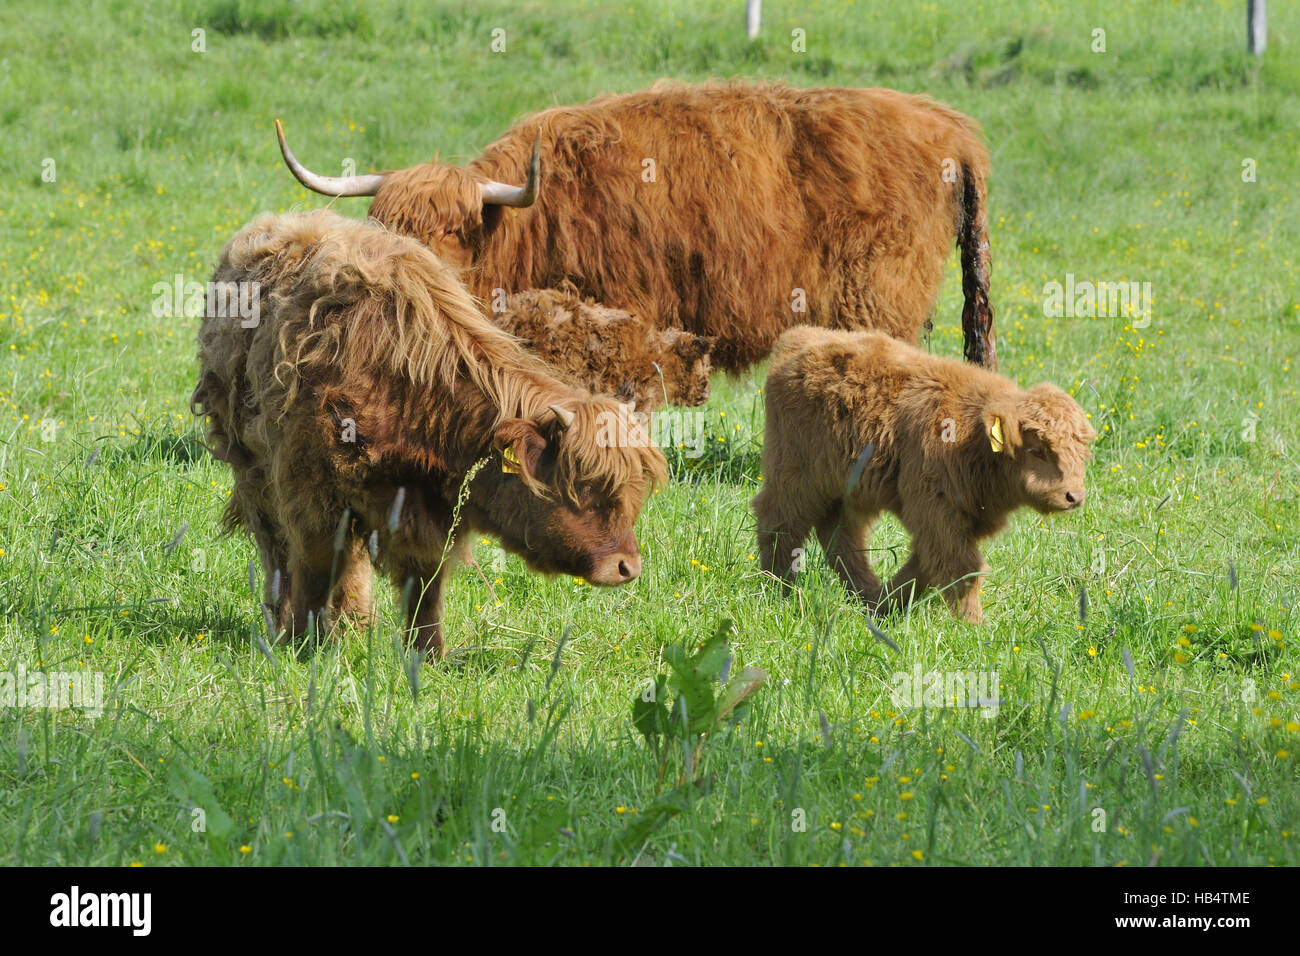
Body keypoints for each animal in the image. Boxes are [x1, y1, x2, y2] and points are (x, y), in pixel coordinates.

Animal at [191, 209, 667, 658]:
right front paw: (301, 643)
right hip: (251, 472)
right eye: (585, 488)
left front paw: (428, 654)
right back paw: (286, 620)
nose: (627, 567)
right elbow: (314, 565)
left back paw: (354, 624)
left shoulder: (424, 508)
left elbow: (424, 586)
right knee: (275, 549)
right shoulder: (310, 493)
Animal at [754, 327, 1095, 624]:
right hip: (793, 478)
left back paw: (866, 595)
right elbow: (960, 568)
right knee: (779, 525)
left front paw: (886, 605)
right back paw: (778, 591)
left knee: (840, 536)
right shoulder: (937, 511)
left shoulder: (960, 519)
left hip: (842, 489)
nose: (1074, 496)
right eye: (1037, 450)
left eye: (1081, 452)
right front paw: (975, 627)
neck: (974, 438)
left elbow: (925, 565)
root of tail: (801, 337)